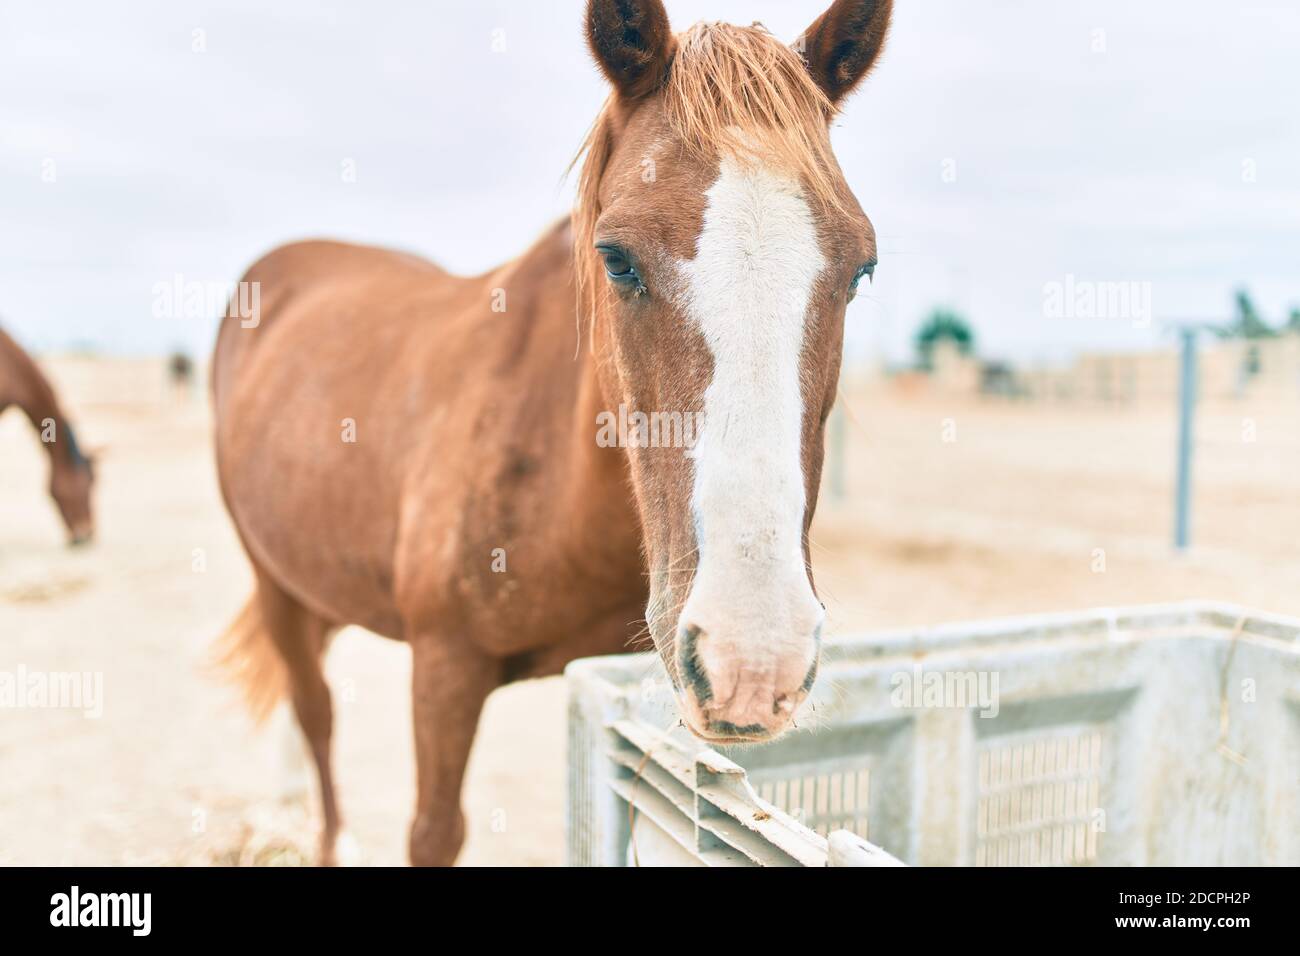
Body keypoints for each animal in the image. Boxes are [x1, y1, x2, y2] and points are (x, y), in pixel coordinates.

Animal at [213, 0, 891, 866]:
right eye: (617, 258)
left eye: (860, 270)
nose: (754, 653)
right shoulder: (444, 667)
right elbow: (433, 831)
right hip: (270, 577)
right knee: (315, 710)